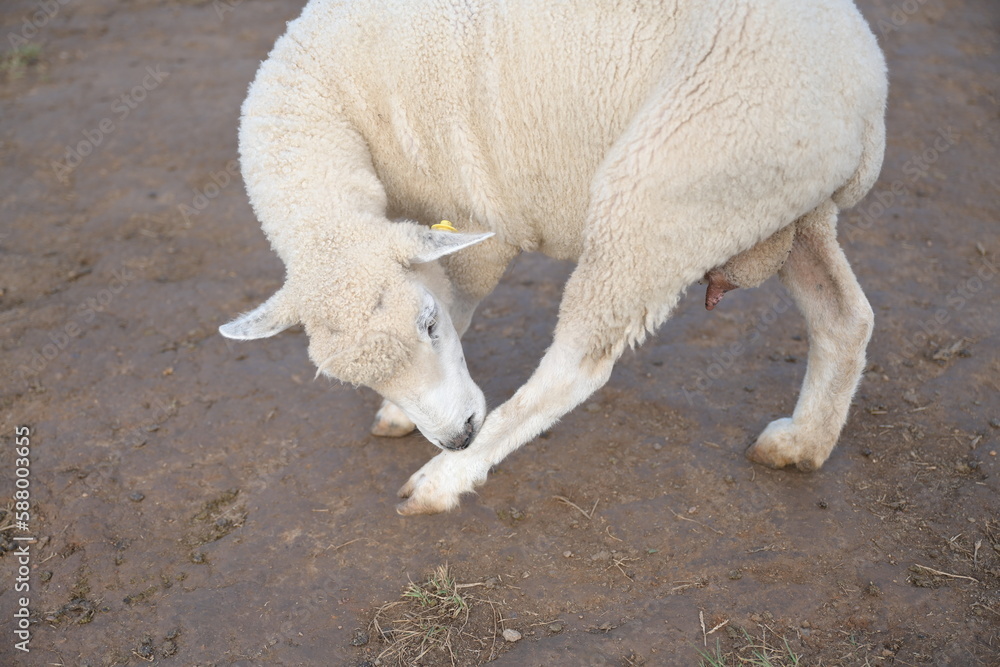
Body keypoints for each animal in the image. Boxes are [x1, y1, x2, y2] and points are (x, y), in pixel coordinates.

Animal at [220, 0, 887, 515]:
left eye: (428, 324)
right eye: (347, 378)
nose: (458, 437)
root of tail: (868, 86)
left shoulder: (469, 222)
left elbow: (462, 306)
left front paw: (429, 430)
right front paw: (399, 408)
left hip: (658, 194)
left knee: (578, 365)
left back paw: (445, 482)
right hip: (779, 203)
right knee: (845, 318)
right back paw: (802, 443)